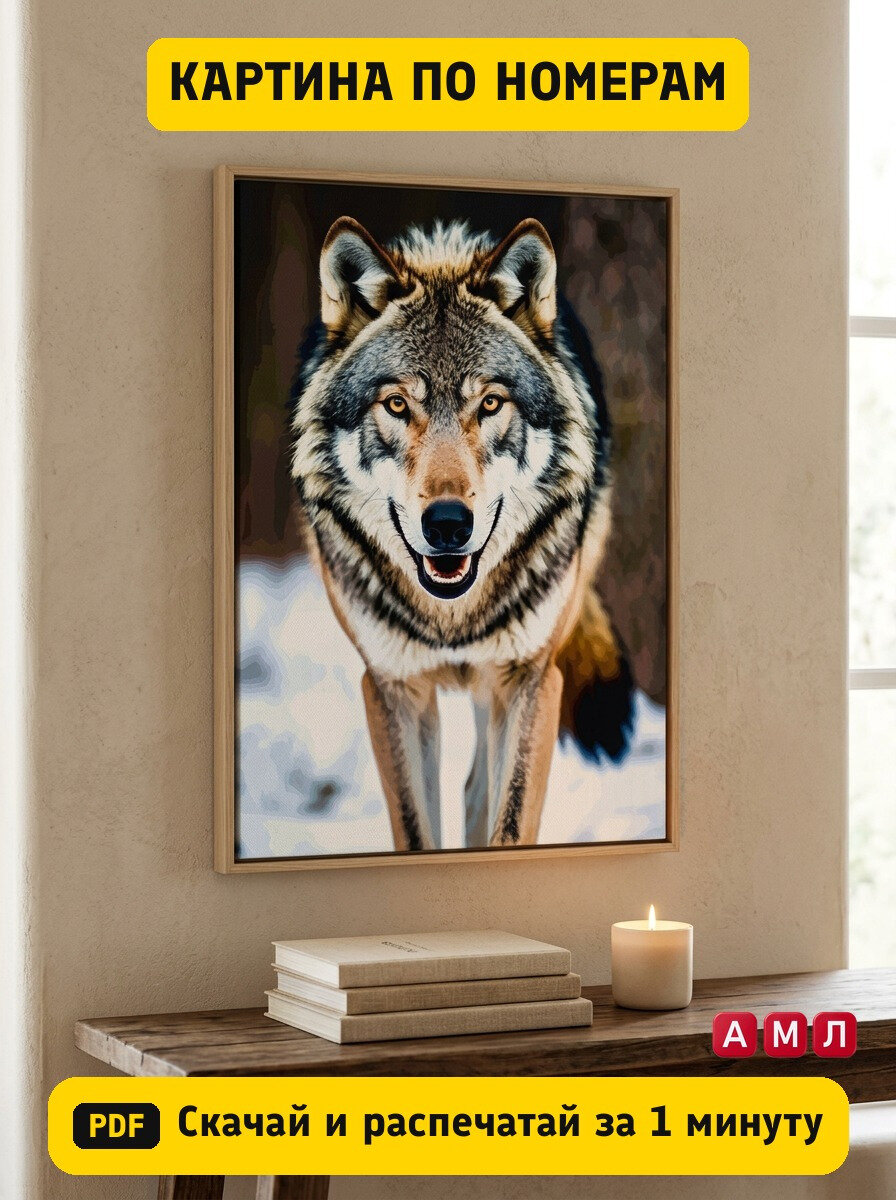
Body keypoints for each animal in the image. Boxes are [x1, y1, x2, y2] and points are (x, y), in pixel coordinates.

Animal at [289, 215, 634, 851]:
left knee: (478, 789)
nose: (447, 524)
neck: (451, 619)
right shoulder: (393, 688)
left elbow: (510, 824)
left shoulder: (530, 680)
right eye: (397, 404)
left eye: (491, 403)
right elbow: (415, 831)